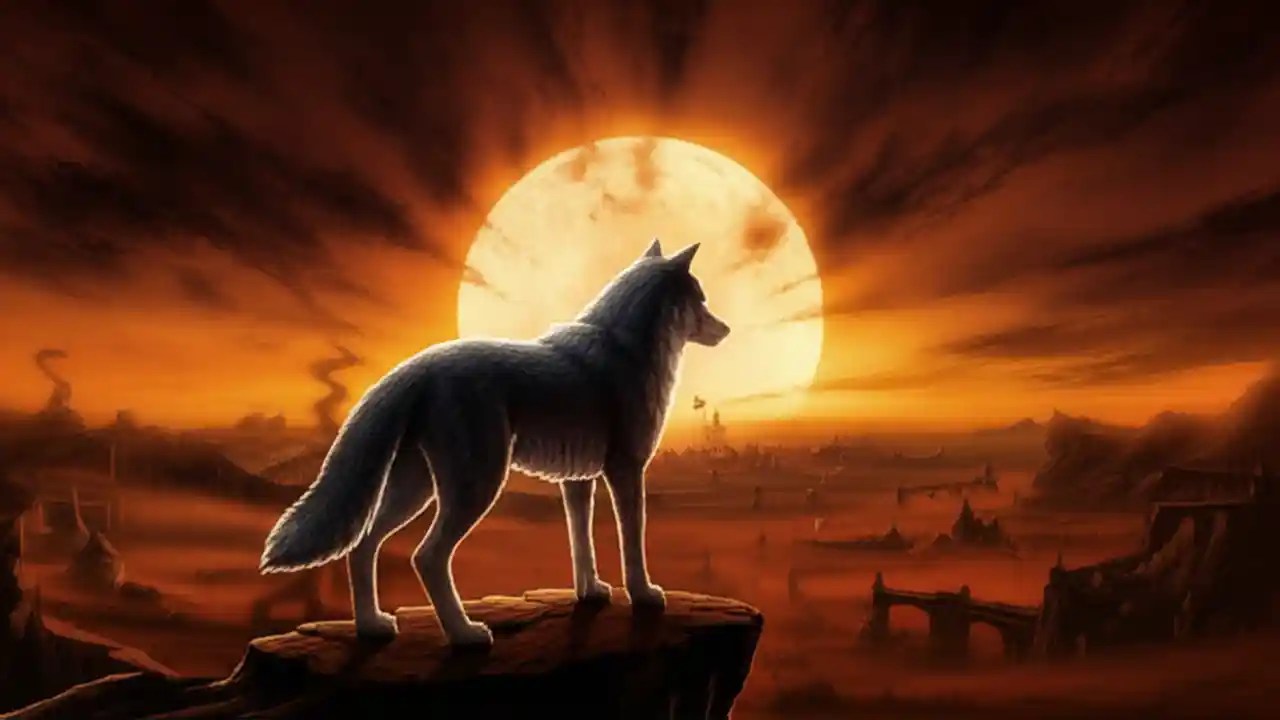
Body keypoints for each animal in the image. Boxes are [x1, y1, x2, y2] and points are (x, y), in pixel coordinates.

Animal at [259, 239, 730, 646]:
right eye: (702, 300)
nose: (725, 329)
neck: (627, 346)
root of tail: (418, 364)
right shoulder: (626, 471)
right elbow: (632, 542)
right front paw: (645, 595)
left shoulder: (577, 482)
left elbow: (581, 545)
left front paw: (591, 592)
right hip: (475, 486)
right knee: (426, 556)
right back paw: (465, 636)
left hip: (417, 490)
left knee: (363, 546)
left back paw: (372, 628)